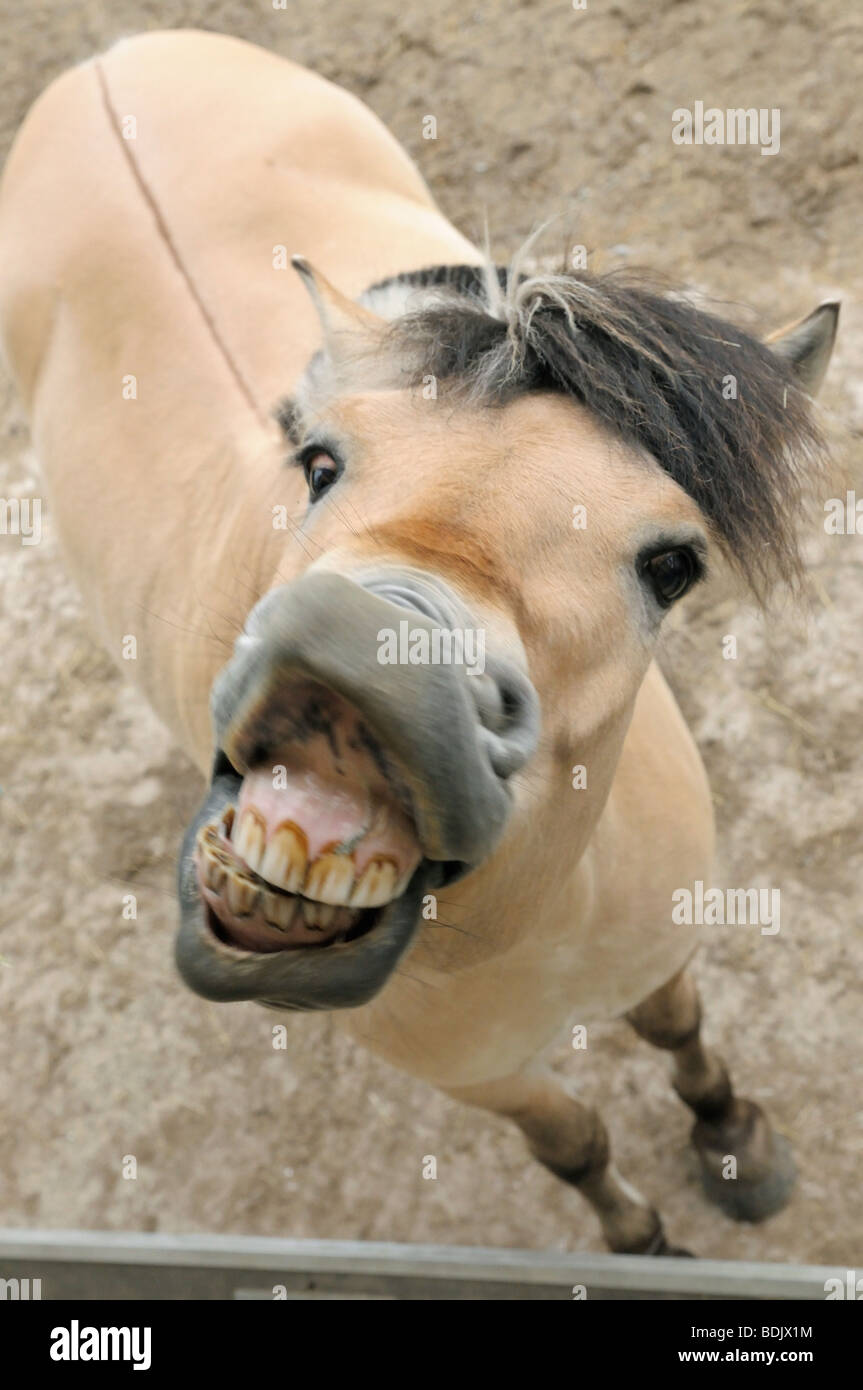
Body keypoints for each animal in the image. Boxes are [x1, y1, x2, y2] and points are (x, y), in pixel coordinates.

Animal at [0, 29, 837, 1255]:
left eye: (671, 564)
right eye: (316, 463)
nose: (367, 645)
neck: (535, 928)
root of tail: (113, 59)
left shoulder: (660, 954)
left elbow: (679, 1033)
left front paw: (733, 1139)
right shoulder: (481, 1078)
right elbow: (574, 1144)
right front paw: (644, 1241)